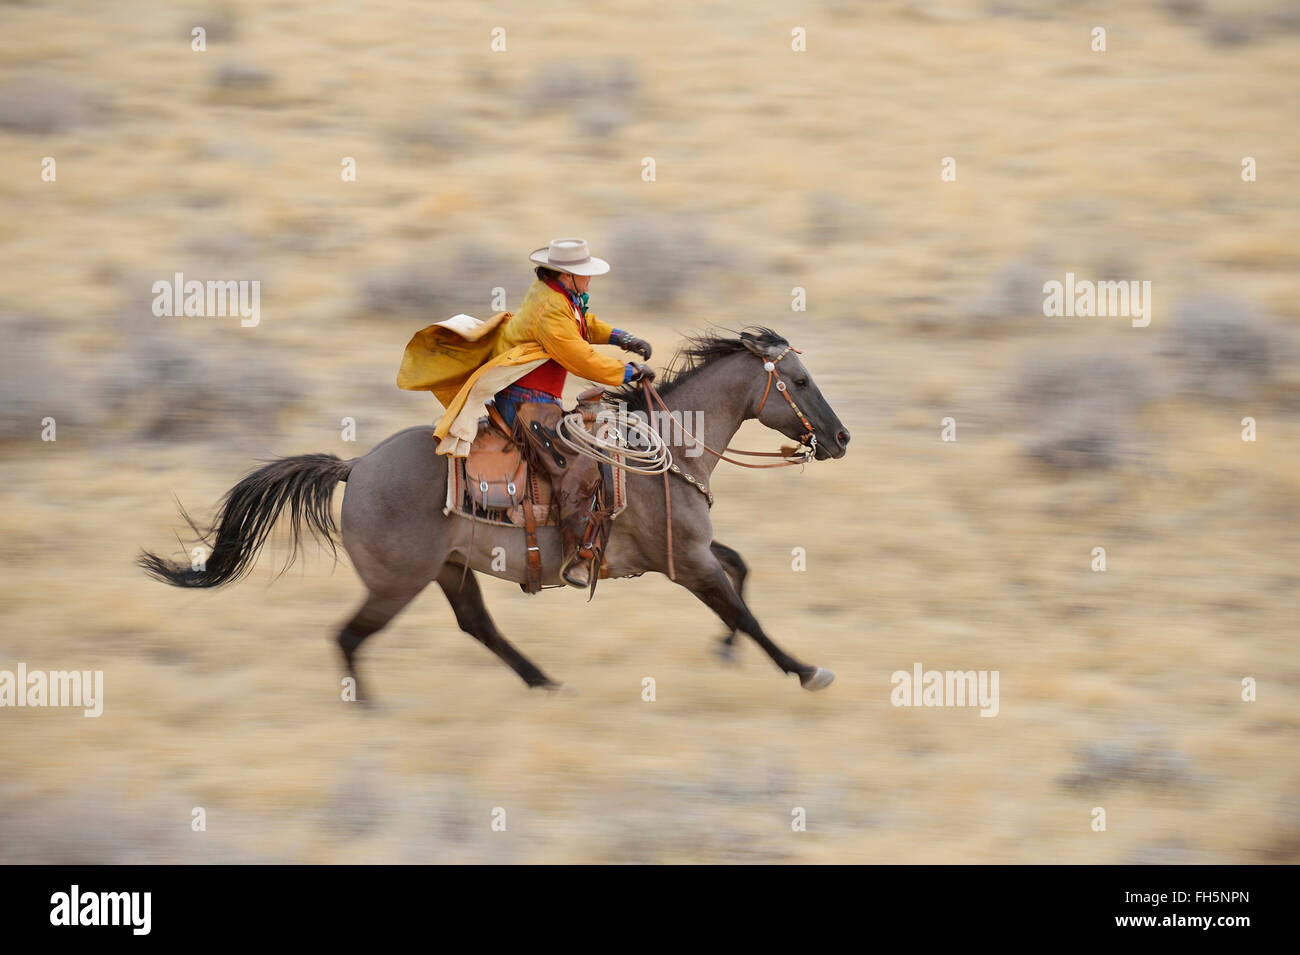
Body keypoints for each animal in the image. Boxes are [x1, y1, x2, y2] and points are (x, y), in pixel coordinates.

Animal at [138, 327, 851, 698]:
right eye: (802, 383)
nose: (841, 438)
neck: (666, 449)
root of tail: (356, 467)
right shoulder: (685, 562)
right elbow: (742, 608)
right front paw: (805, 669)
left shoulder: (692, 552)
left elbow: (741, 577)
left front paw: (728, 652)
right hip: (398, 583)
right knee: (349, 636)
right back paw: (370, 711)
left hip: (450, 569)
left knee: (476, 627)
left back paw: (543, 682)